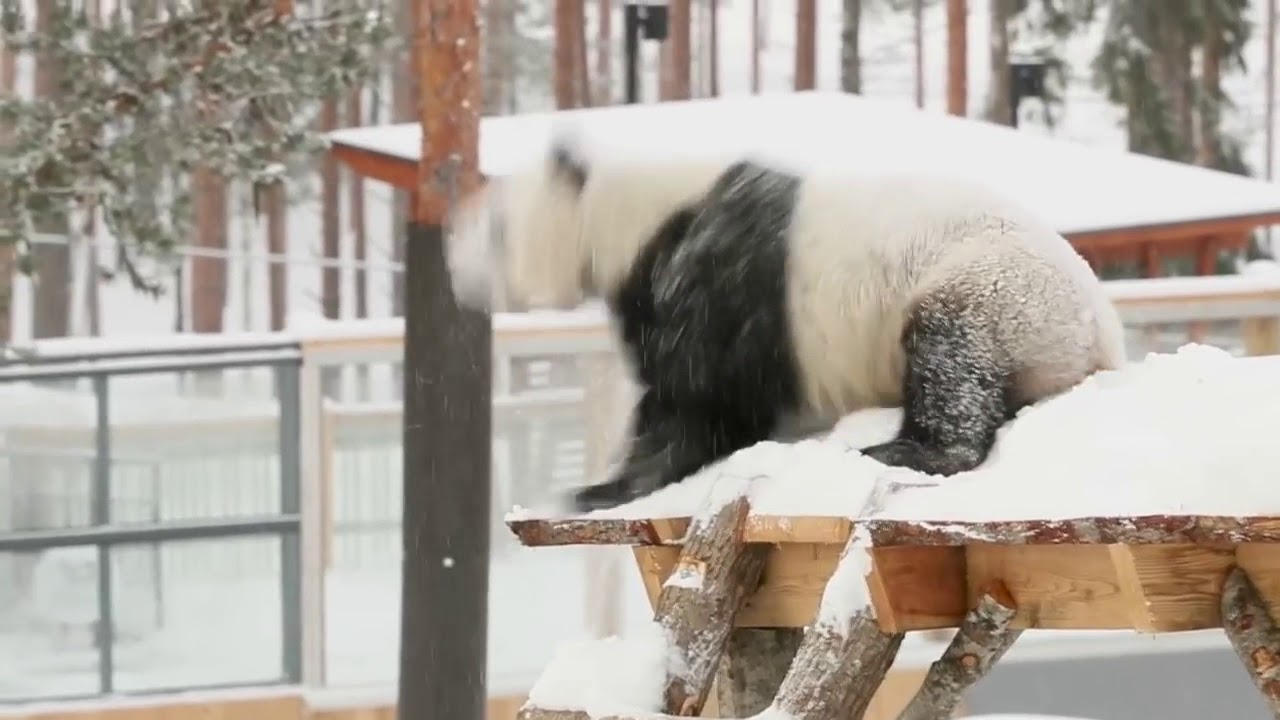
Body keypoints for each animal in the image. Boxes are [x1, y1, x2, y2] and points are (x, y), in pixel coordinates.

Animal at [444, 136, 1128, 512]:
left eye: (497, 230)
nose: (455, 266)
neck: (624, 211)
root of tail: (1101, 340)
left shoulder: (712, 266)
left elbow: (700, 402)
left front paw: (606, 488)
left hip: (995, 288)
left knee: (951, 359)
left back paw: (902, 449)